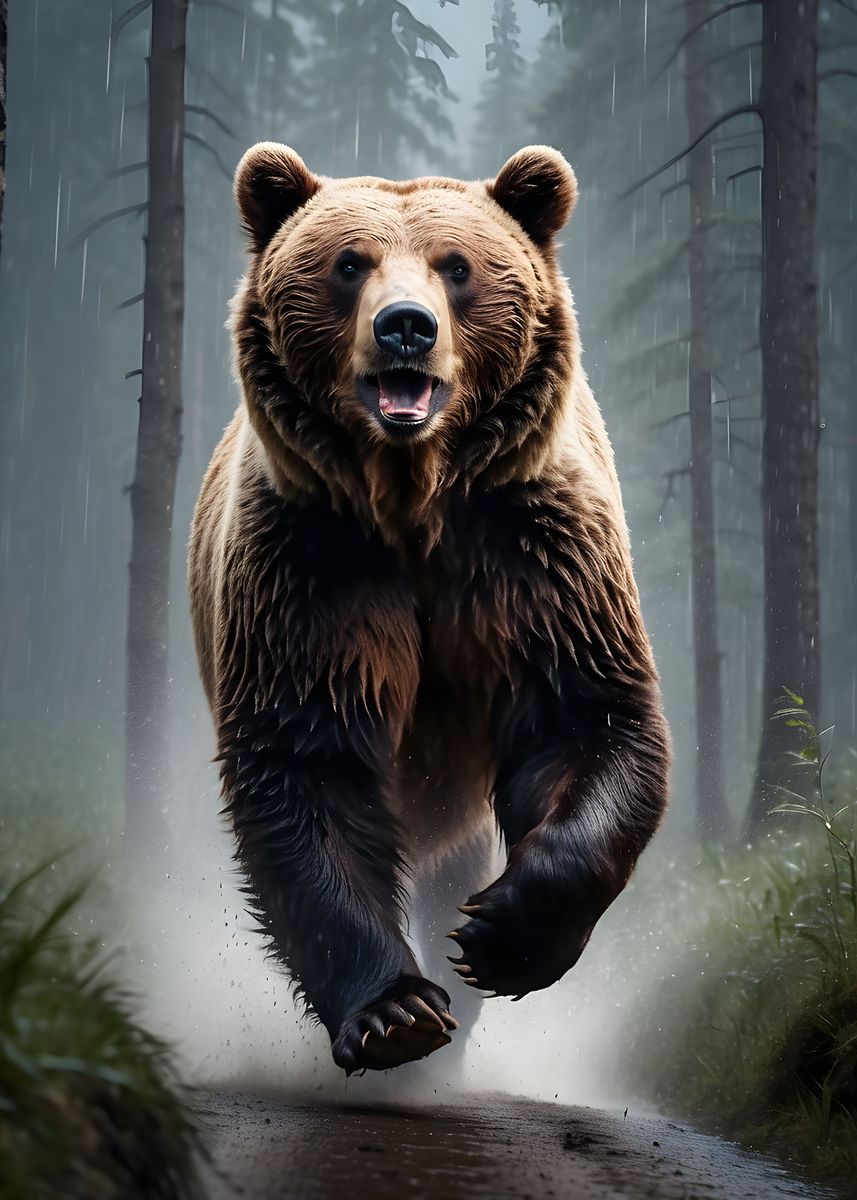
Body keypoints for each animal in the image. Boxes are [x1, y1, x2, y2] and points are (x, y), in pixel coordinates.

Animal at [188, 142, 671, 1076]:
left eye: (457, 266)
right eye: (348, 264)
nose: (405, 325)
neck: (412, 499)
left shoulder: (528, 551)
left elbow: (584, 715)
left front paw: (502, 937)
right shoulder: (314, 565)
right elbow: (310, 762)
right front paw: (394, 1013)